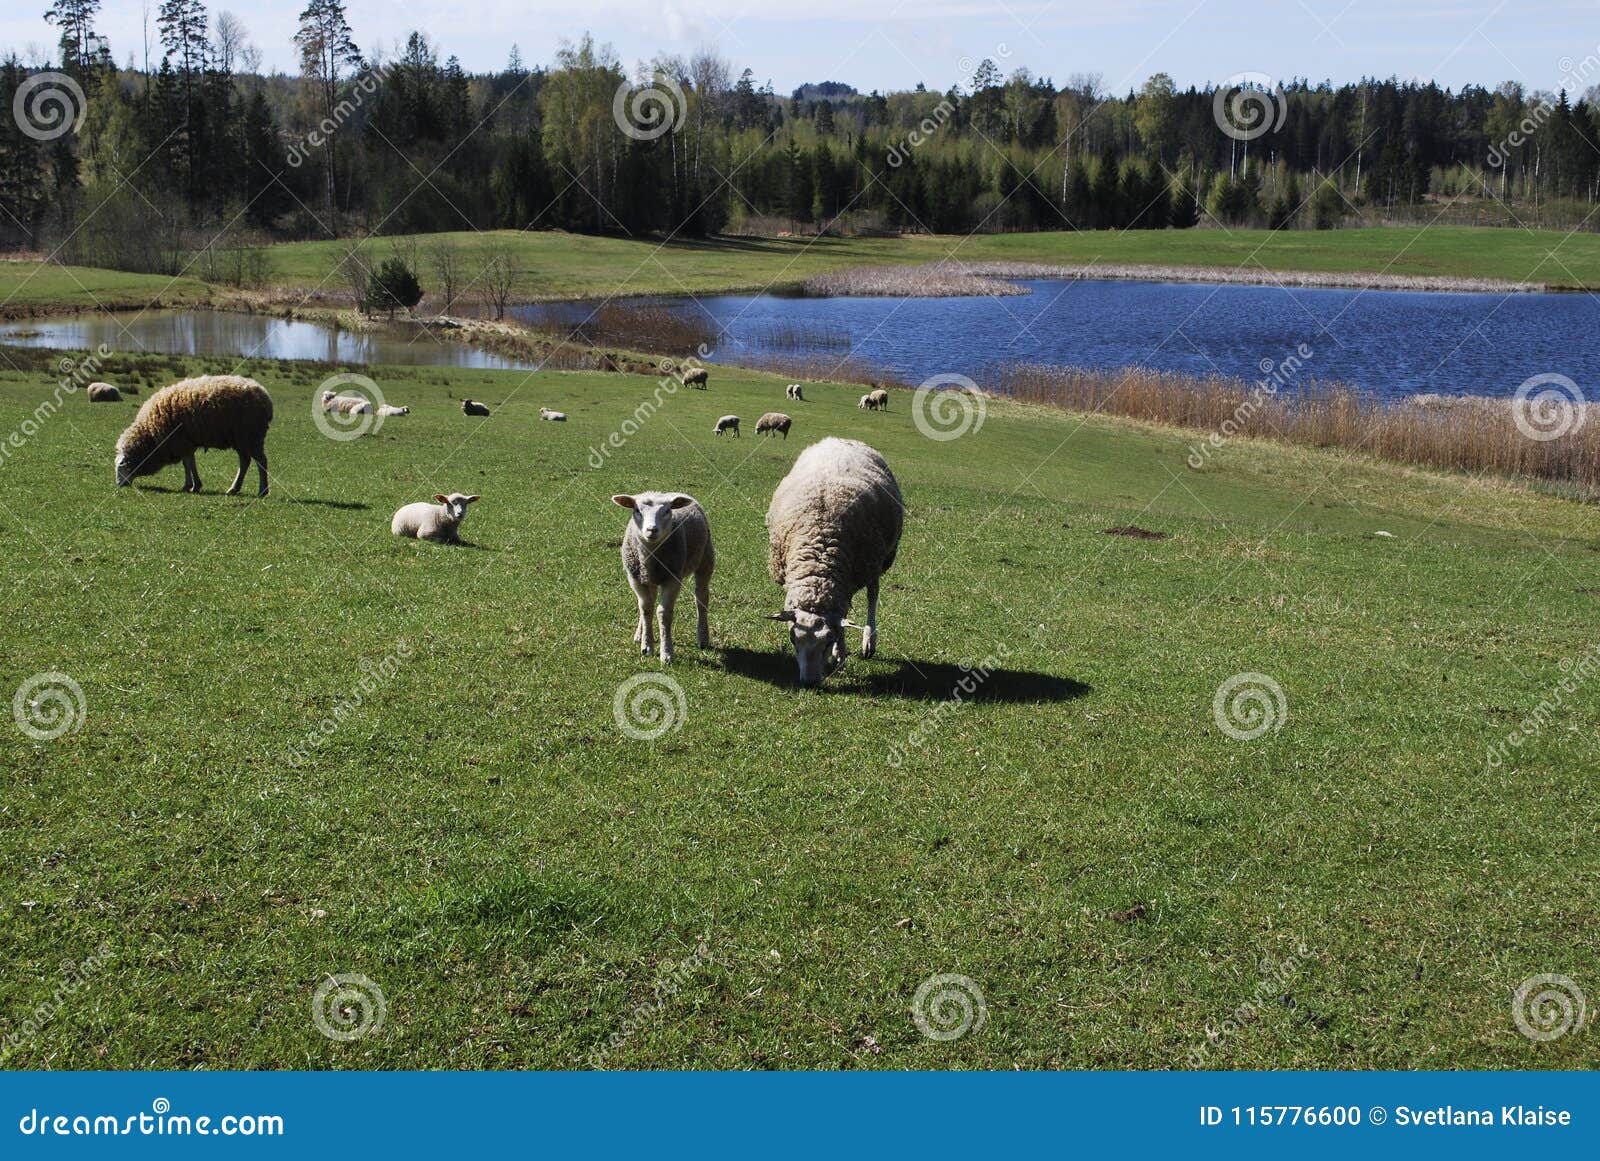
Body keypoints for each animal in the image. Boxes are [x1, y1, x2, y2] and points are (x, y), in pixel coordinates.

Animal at [115, 375, 272, 496]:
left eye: (120, 468)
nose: (118, 484)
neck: (150, 435)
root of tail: (264, 395)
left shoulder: (180, 441)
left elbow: (187, 463)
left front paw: (189, 485)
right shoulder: (188, 442)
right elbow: (190, 462)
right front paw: (195, 485)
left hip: (251, 436)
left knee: (261, 461)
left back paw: (262, 491)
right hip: (240, 439)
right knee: (245, 461)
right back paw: (234, 489)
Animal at [613, 492, 715, 664]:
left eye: (667, 511)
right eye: (637, 510)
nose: (651, 529)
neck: (650, 556)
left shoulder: (672, 579)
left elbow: (663, 613)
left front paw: (666, 653)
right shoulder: (635, 579)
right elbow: (645, 608)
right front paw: (646, 646)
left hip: (705, 559)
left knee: (701, 597)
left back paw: (702, 638)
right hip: (650, 580)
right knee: (649, 602)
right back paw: (640, 634)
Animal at [765, 438, 903, 685]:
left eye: (828, 640)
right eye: (792, 639)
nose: (809, 682)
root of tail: (841, 440)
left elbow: (845, 619)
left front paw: (840, 654)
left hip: (876, 561)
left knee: (873, 594)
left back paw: (869, 639)